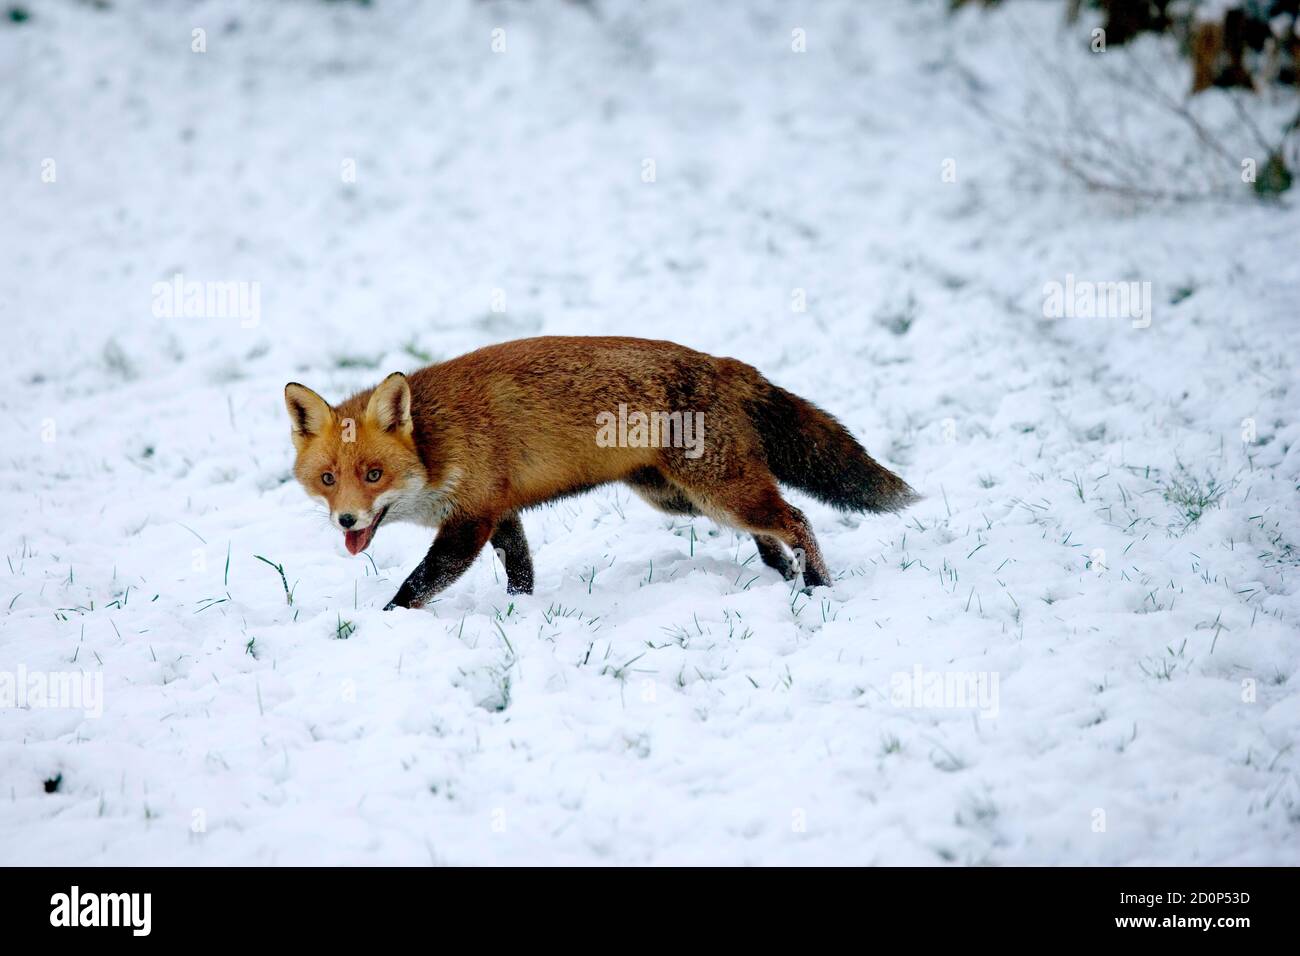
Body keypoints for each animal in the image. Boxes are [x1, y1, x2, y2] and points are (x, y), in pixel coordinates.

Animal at [284, 336, 918, 610]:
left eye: (373, 474)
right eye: (328, 480)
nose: (346, 521)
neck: (438, 445)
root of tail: (723, 361)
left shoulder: (470, 522)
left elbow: (414, 587)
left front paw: (386, 623)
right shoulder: (499, 512)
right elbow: (521, 573)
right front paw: (521, 616)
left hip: (719, 492)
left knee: (799, 517)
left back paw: (818, 587)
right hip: (683, 498)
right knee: (771, 528)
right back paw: (782, 574)